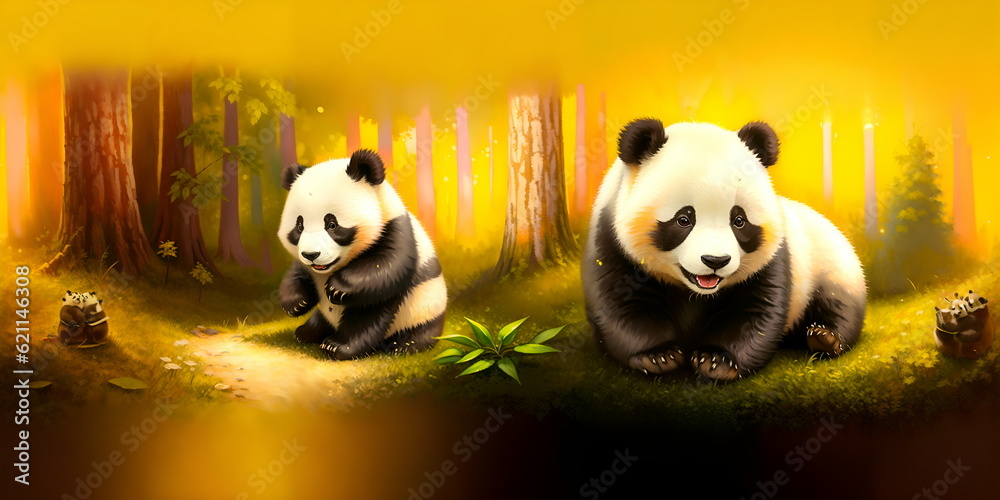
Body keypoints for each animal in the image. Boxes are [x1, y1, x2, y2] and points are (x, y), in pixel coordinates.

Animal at [277, 149, 447, 360]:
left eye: (332, 224)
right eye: (299, 226)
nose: (311, 254)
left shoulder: (394, 231)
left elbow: (383, 277)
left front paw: (338, 345)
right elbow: (297, 271)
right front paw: (296, 303)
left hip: (423, 307)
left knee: (420, 328)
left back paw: (405, 344)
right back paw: (306, 331)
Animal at [582, 119, 867, 381]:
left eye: (738, 220)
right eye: (684, 219)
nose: (715, 260)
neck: (696, 292)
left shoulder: (773, 259)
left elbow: (755, 311)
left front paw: (717, 361)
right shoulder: (610, 242)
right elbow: (620, 302)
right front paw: (658, 355)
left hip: (832, 266)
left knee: (838, 303)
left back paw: (824, 337)